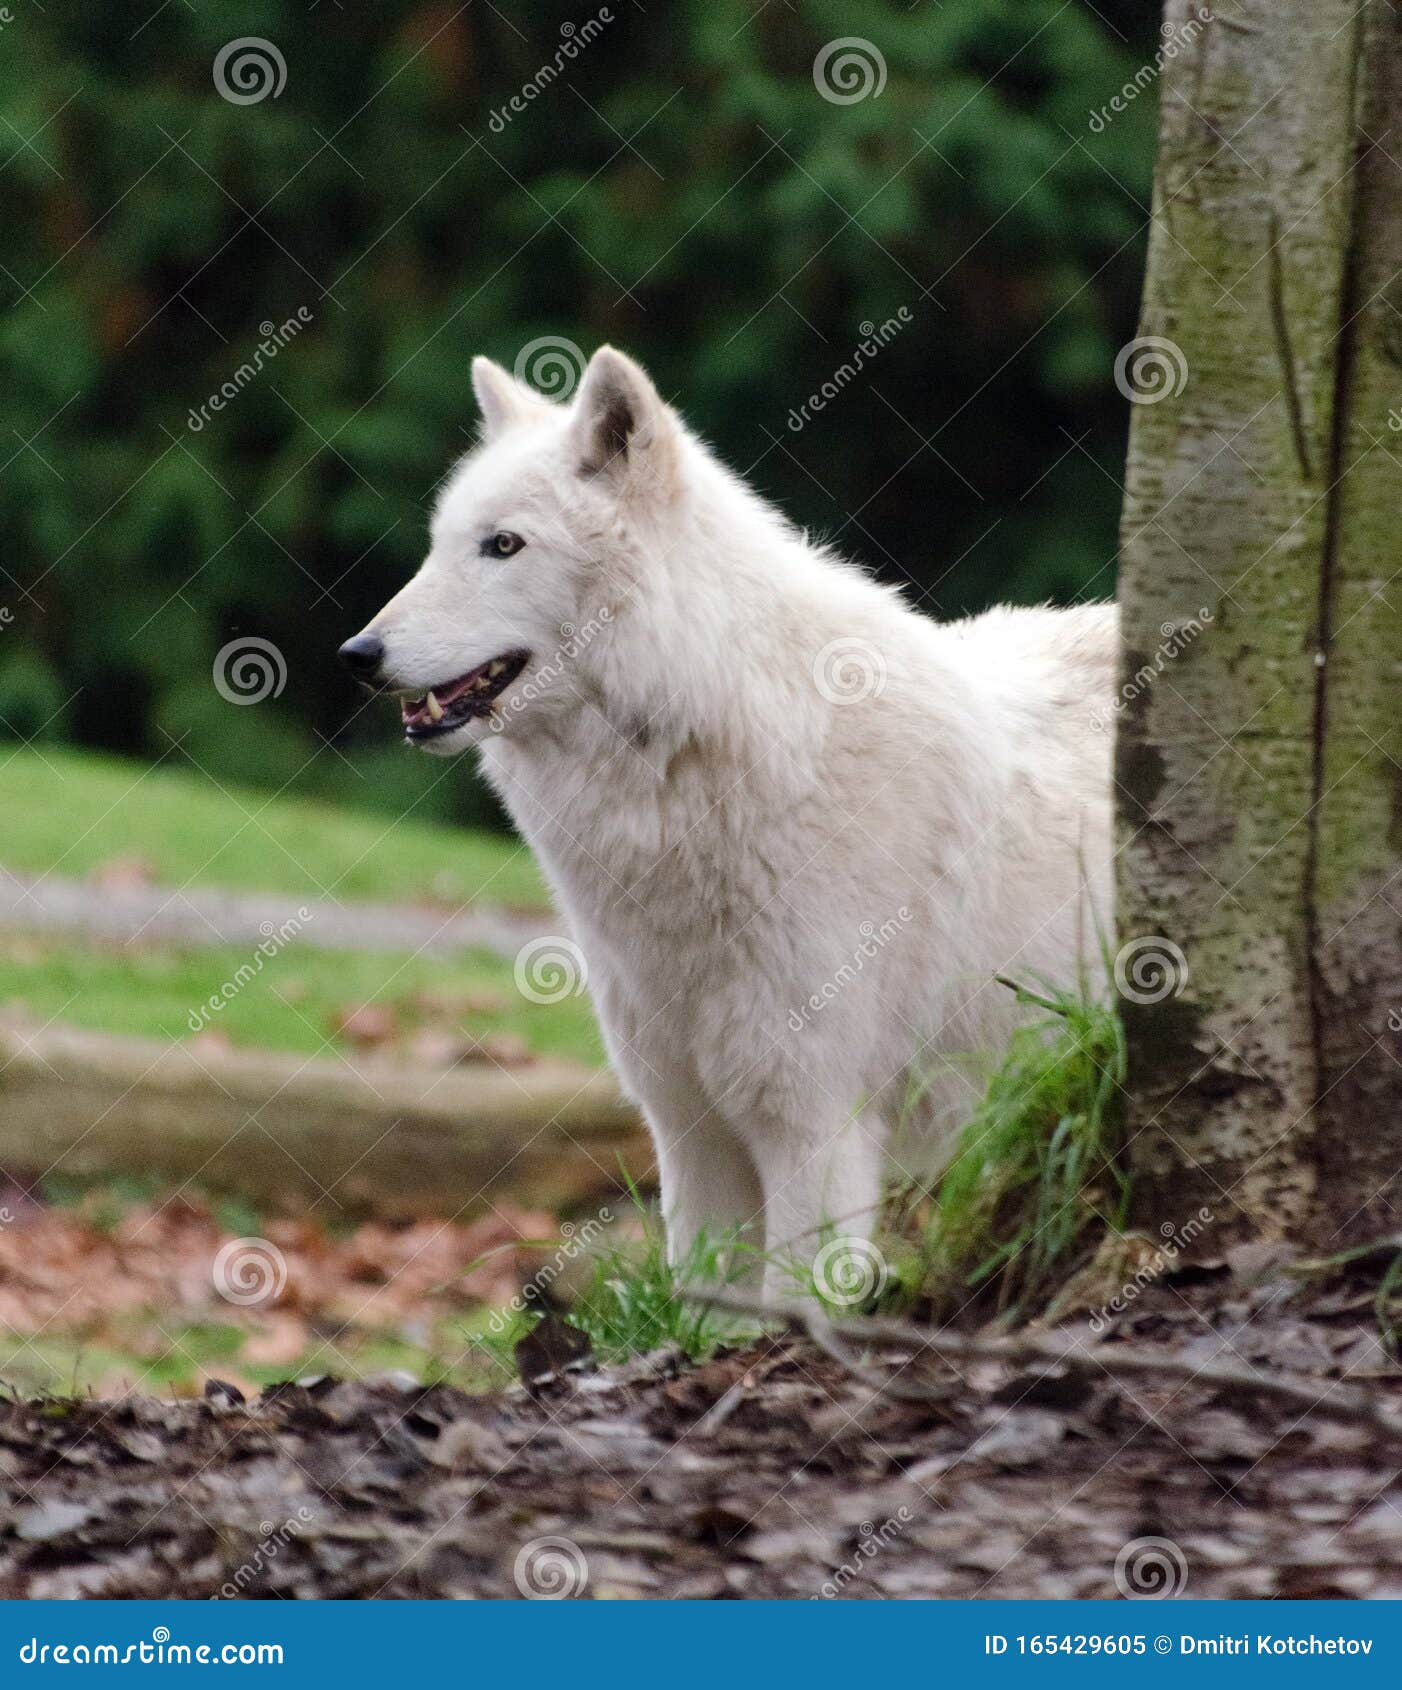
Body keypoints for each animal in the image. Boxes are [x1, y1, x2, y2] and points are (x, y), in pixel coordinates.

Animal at [340, 346, 1116, 1297]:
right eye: (439, 544)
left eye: (503, 545)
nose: (357, 655)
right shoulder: (690, 1128)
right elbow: (707, 1300)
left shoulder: (813, 1128)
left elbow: (794, 1303)